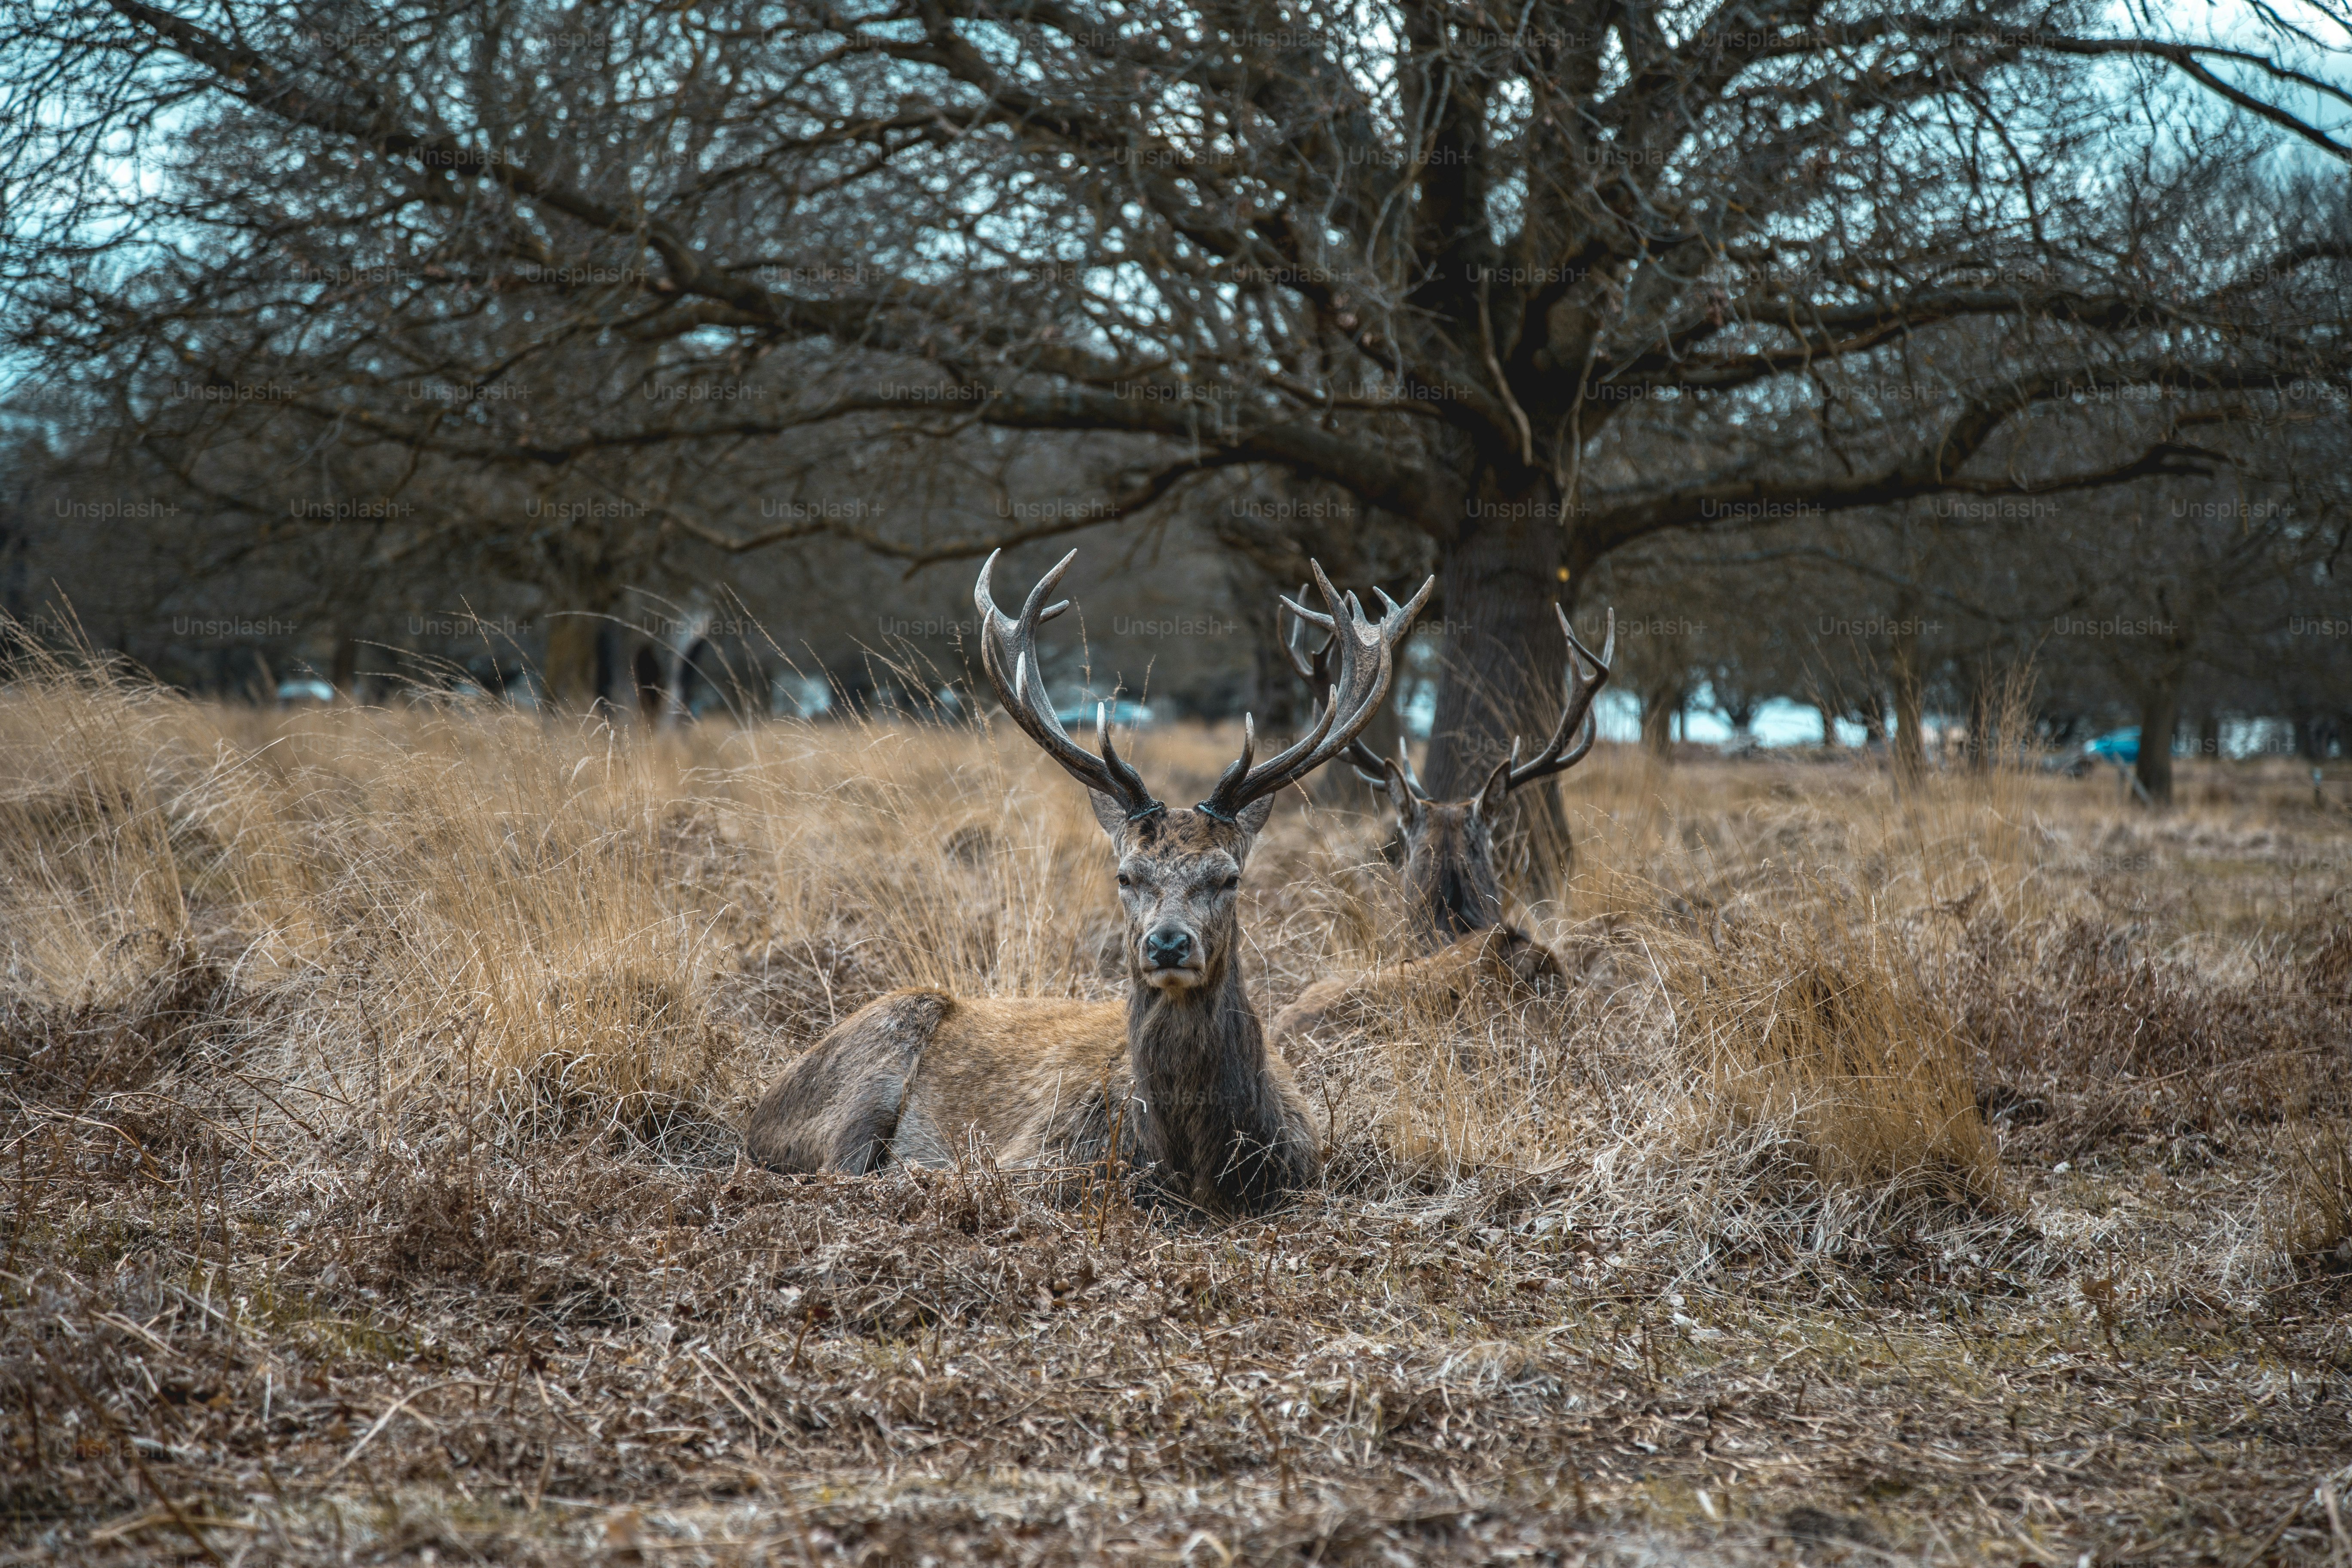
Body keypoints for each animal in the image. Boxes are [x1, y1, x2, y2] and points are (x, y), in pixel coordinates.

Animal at [745, 550, 1431, 1216]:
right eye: (1126, 875)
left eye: (1229, 877)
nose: (1168, 944)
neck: (1191, 1162)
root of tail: (762, 1108)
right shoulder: (1036, 1154)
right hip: (873, 1062)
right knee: (839, 1169)